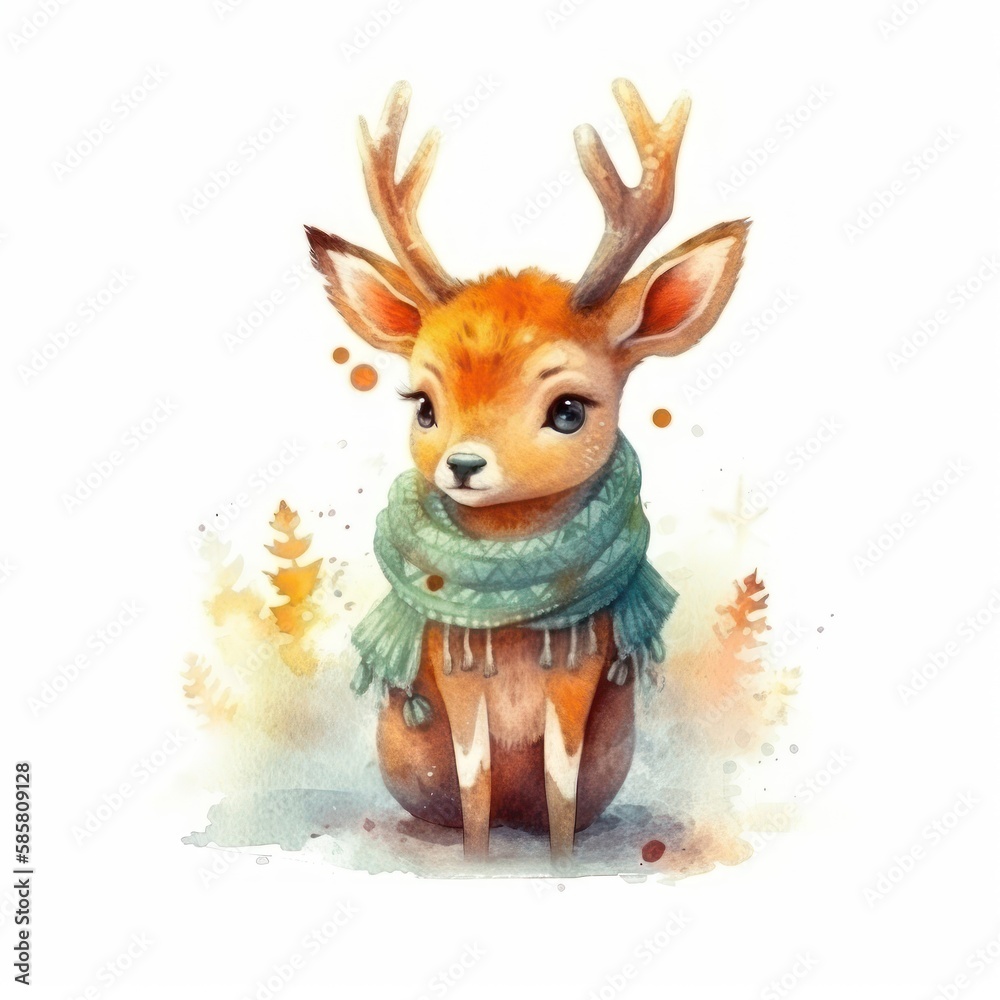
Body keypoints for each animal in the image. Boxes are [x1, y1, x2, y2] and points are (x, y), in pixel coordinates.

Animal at [306, 80, 748, 861]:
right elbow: (474, 776)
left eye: (569, 409)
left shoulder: (578, 668)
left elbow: (561, 781)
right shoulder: (452, 669)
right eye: (423, 405)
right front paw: (480, 862)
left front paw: (563, 860)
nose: (464, 463)